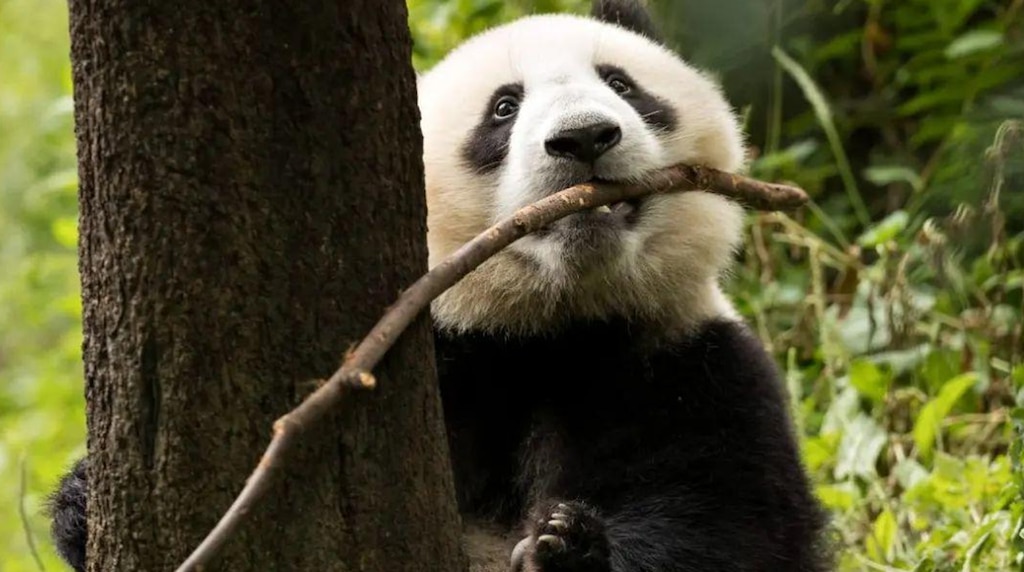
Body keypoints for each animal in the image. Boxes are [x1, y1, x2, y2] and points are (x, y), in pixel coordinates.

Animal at [48, 1, 833, 571]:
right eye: (504, 108)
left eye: (621, 84)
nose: (584, 138)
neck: (558, 324)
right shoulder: (453, 362)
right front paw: (80, 502)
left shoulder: (689, 363)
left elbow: (734, 524)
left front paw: (566, 545)